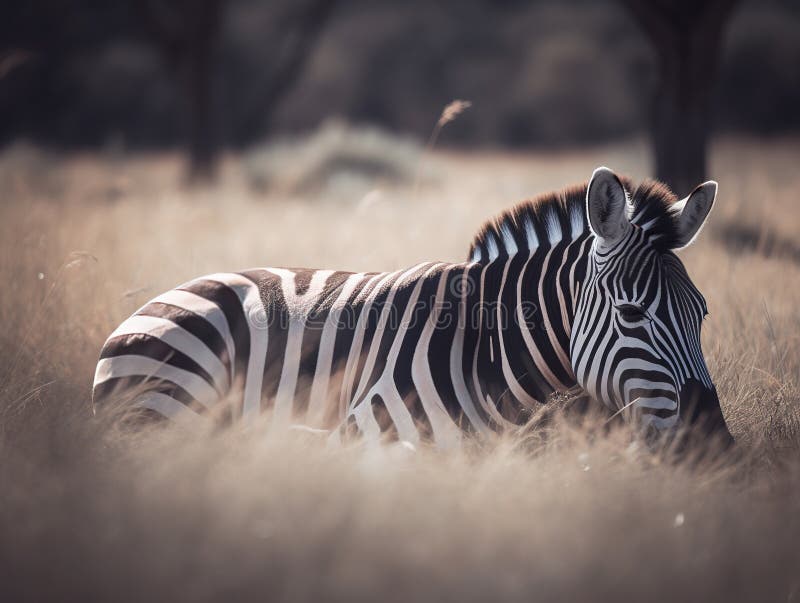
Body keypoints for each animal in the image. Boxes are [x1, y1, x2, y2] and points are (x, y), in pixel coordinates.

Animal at [93, 166, 734, 448]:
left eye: (702, 314)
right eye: (632, 316)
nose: (714, 446)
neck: (486, 354)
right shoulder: (369, 436)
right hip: (169, 409)